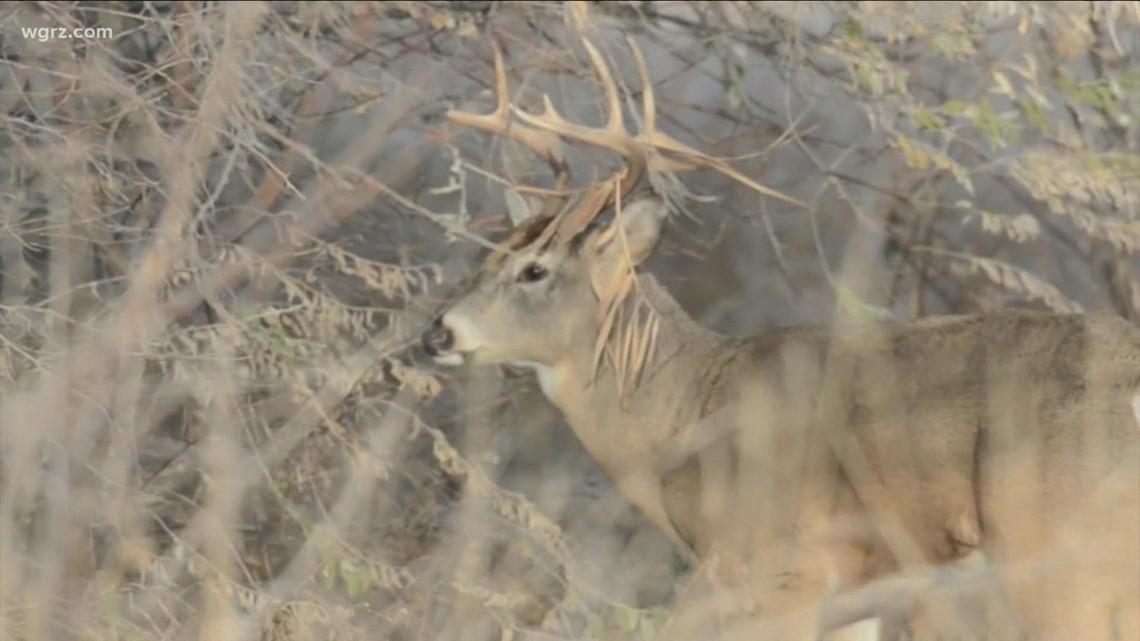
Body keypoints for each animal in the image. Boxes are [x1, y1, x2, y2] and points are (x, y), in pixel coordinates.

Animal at [422, 36, 1140, 641]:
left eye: (533, 269)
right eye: (487, 255)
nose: (437, 332)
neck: (684, 413)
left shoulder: (778, 567)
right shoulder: (853, 597)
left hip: (1055, 555)